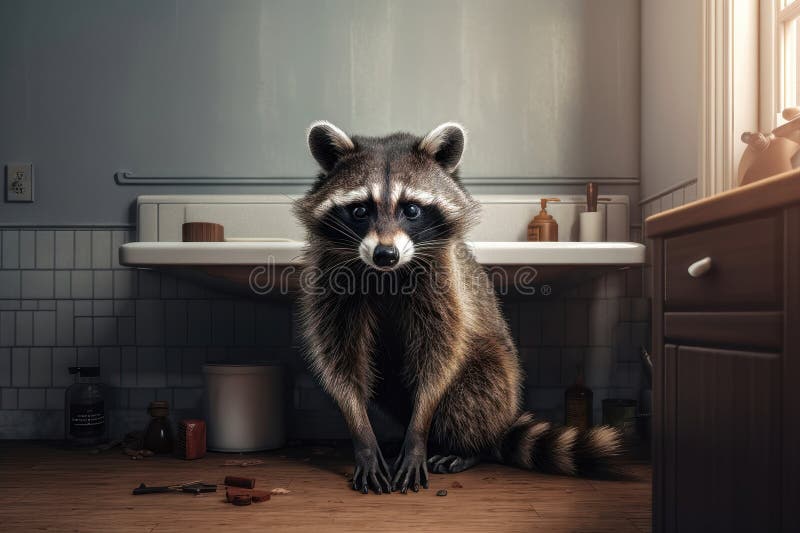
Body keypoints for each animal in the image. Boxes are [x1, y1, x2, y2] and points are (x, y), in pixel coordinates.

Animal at [295, 121, 620, 494]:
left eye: (411, 209)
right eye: (360, 210)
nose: (385, 255)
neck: (387, 274)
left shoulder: (444, 281)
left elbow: (439, 359)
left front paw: (417, 437)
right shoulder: (332, 279)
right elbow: (341, 362)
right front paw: (362, 435)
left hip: (497, 373)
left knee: (474, 388)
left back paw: (468, 447)